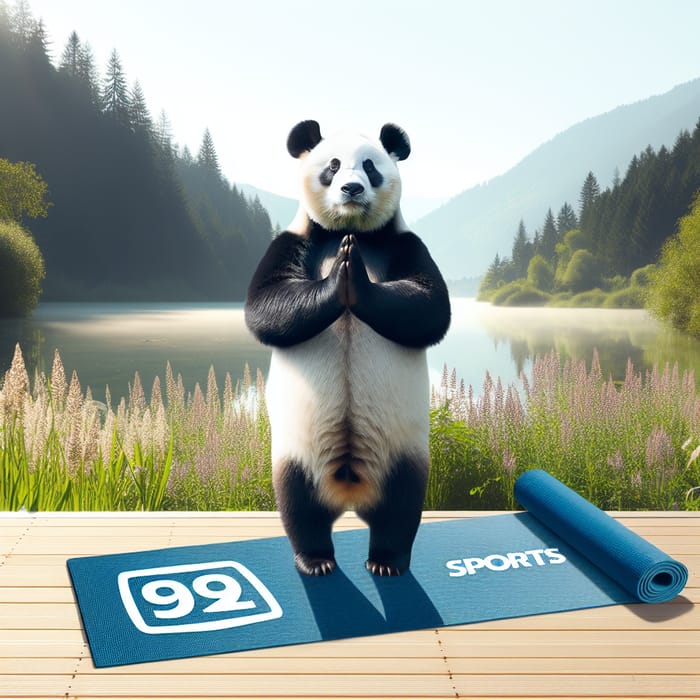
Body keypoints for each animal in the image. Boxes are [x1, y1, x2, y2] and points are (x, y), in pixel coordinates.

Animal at [245, 120, 451, 577]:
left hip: (404, 453)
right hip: (295, 452)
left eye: (371, 166)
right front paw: (341, 275)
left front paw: (355, 274)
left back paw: (388, 560)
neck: (347, 229)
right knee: (297, 503)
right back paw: (315, 558)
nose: (352, 188)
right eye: (333, 166)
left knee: (402, 504)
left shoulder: (402, 242)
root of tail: (350, 493)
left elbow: (430, 305)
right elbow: (266, 305)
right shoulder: (296, 239)